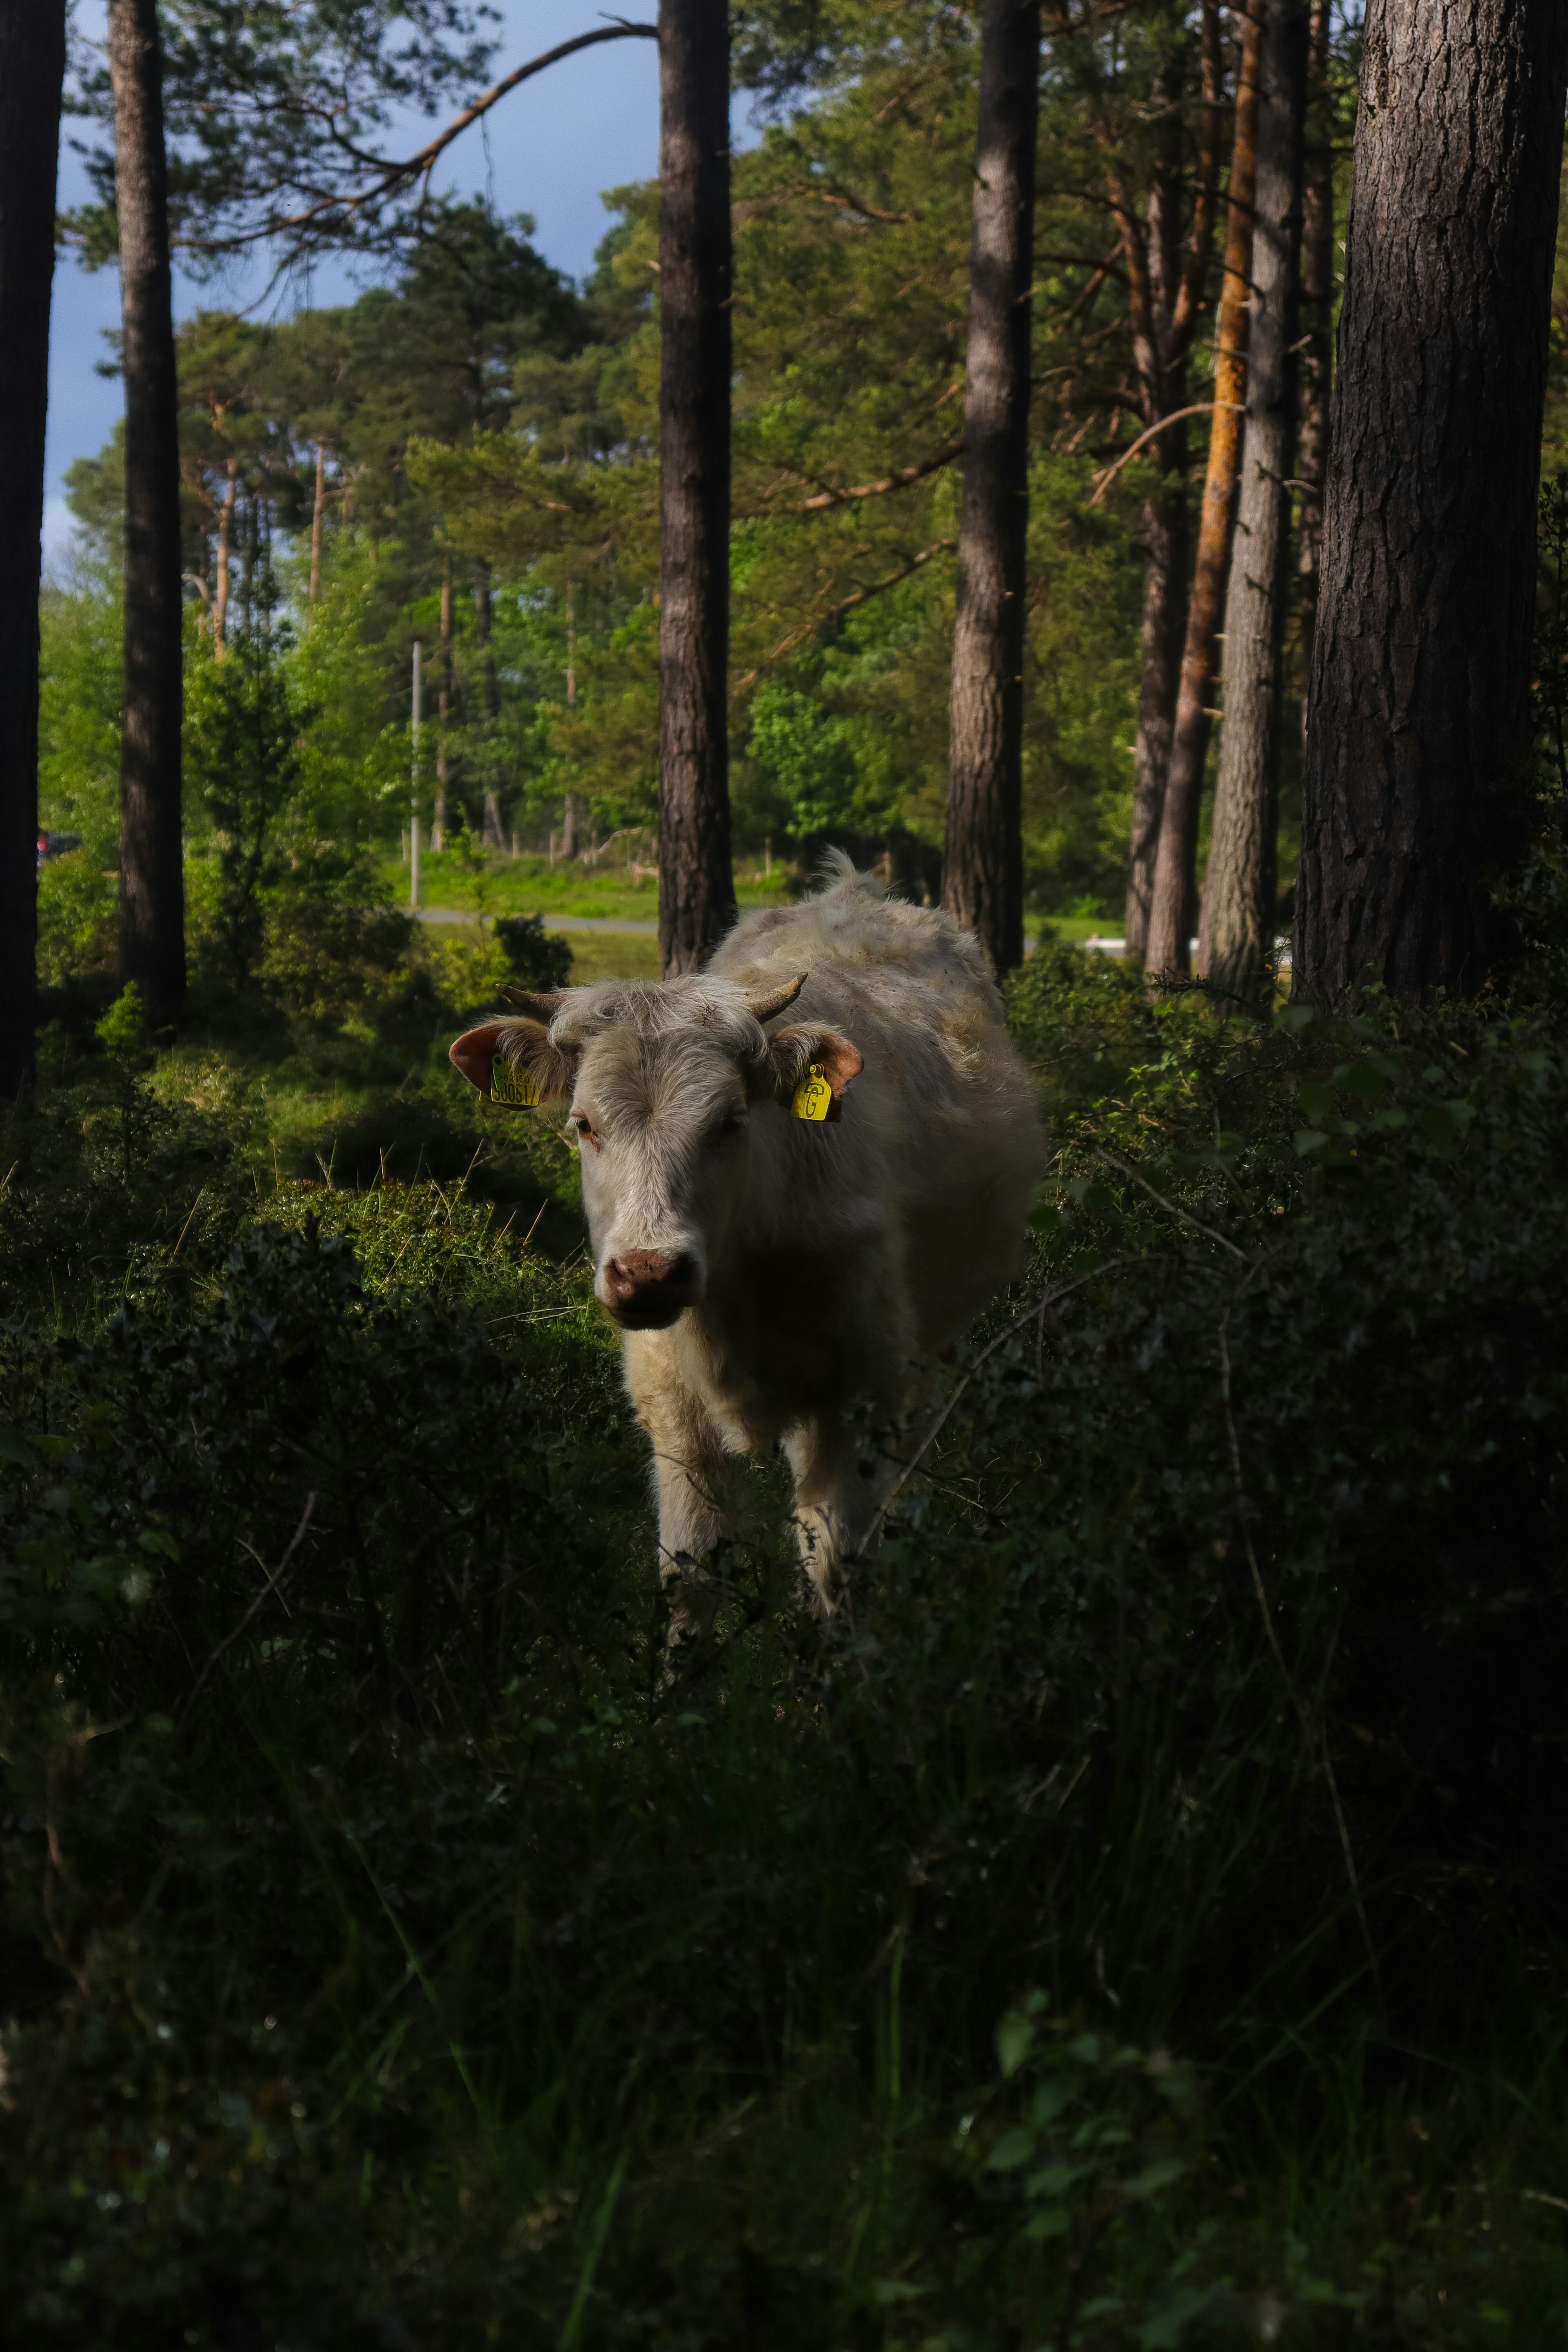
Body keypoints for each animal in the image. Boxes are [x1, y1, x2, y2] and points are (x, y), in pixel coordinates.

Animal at [449, 855, 1046, 1621]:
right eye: (584, 1124)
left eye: (729, 1121)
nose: (649, 1272)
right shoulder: (672, 1407)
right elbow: (692, 1573)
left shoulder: (854, 1392)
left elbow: (837, 1567)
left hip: (930, 1348)